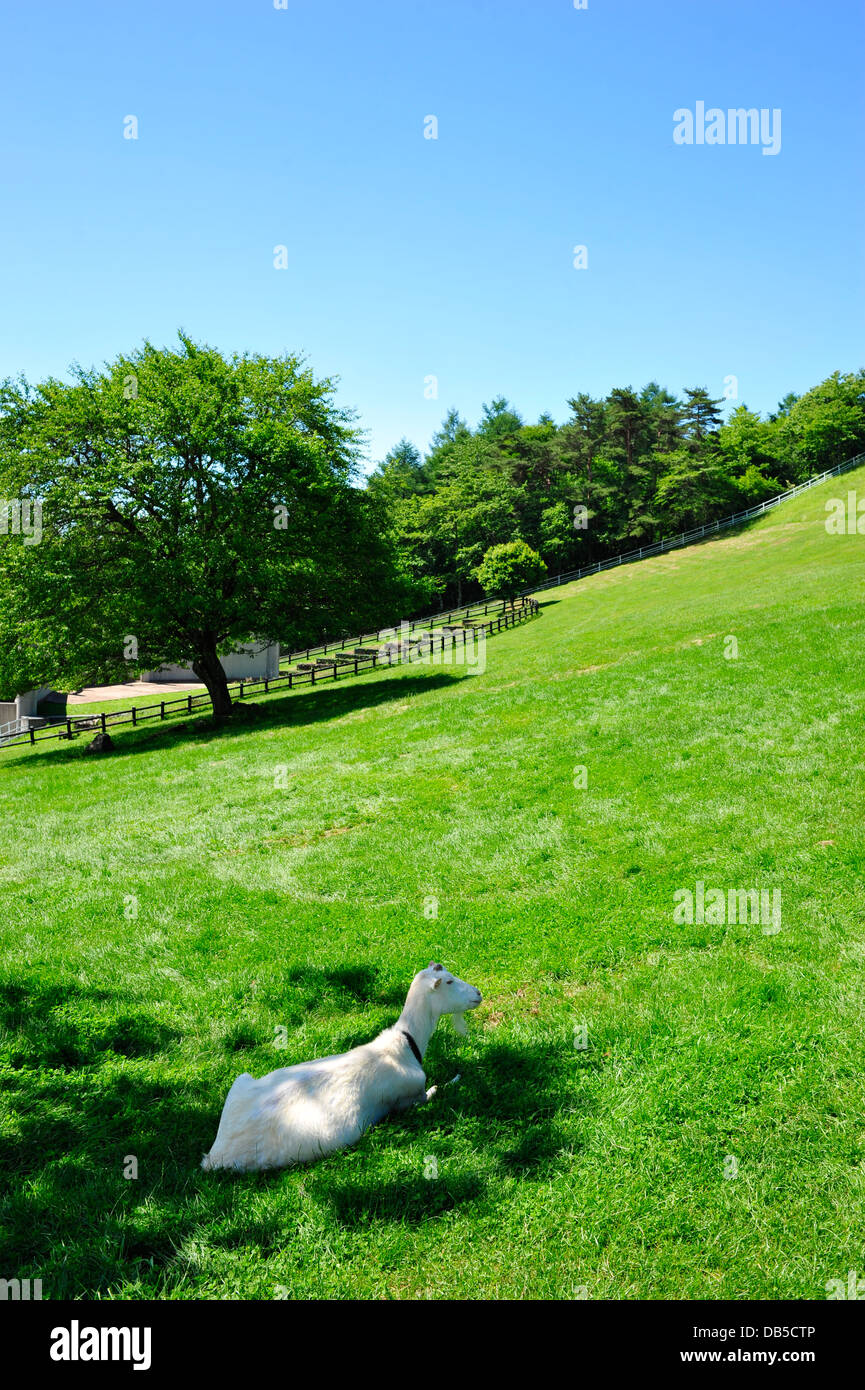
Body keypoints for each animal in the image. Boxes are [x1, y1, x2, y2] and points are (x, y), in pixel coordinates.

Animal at [201, 963, 482, 1172]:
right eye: (449, 982)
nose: (478, 993)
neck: (403, 1045)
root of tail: (216, 1154)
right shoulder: (411, 1097)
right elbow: (436, 1089)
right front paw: (456, 1078)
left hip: (241, 1080)